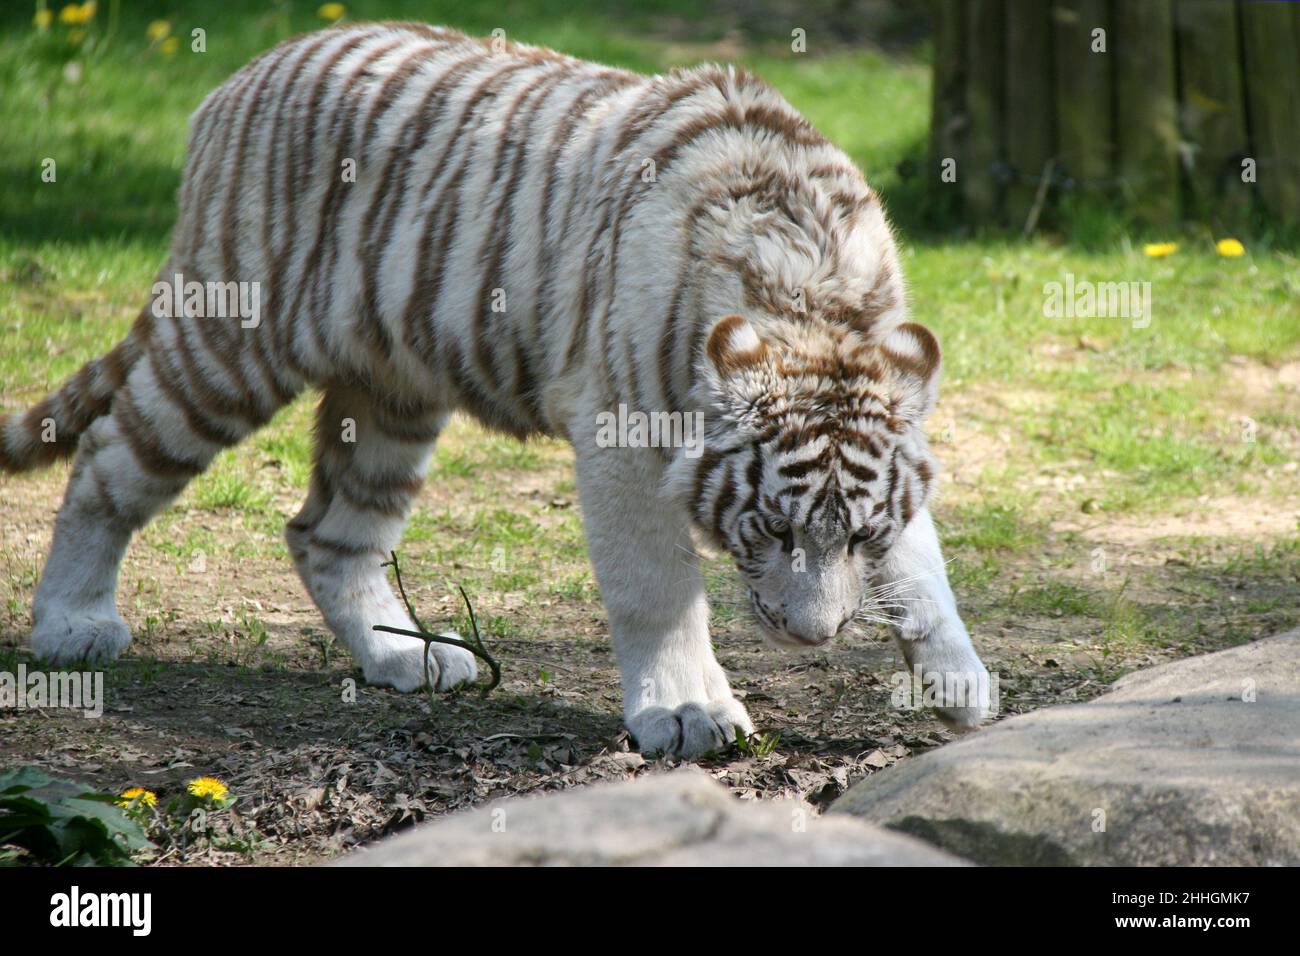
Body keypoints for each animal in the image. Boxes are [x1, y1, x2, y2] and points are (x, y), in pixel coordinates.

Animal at [1, 22, 990, 757]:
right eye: (773, 528)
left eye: (856, 534)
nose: (813, 638)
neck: (814, 306)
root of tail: (239, 78)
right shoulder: (623, 440)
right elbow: (658, 589)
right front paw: (686, 713)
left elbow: (924, 566)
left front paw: (959, 682)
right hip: (229, 346)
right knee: (107, 460)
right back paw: (72, 623)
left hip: (393, 396)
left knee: (328, 535)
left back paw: (407, 659)